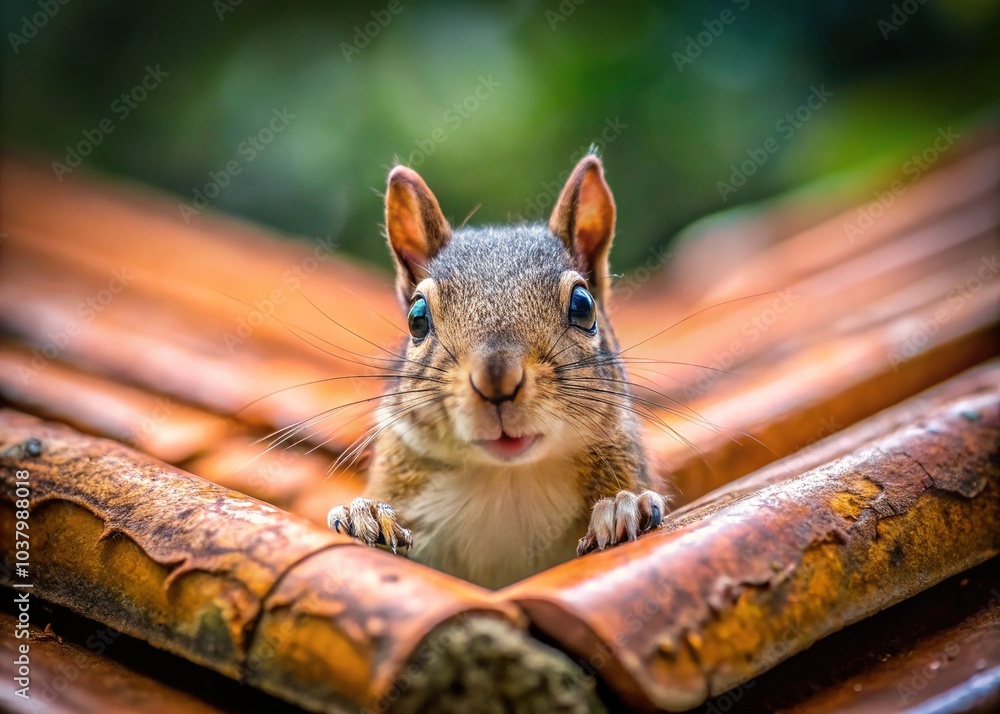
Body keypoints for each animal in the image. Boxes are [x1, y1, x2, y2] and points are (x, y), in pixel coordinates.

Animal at [327, 152, 668, 589]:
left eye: (583, 306)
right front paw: (364, 516)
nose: (497, 380)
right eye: (417, 318)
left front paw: (624, 507)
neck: (506, 481)